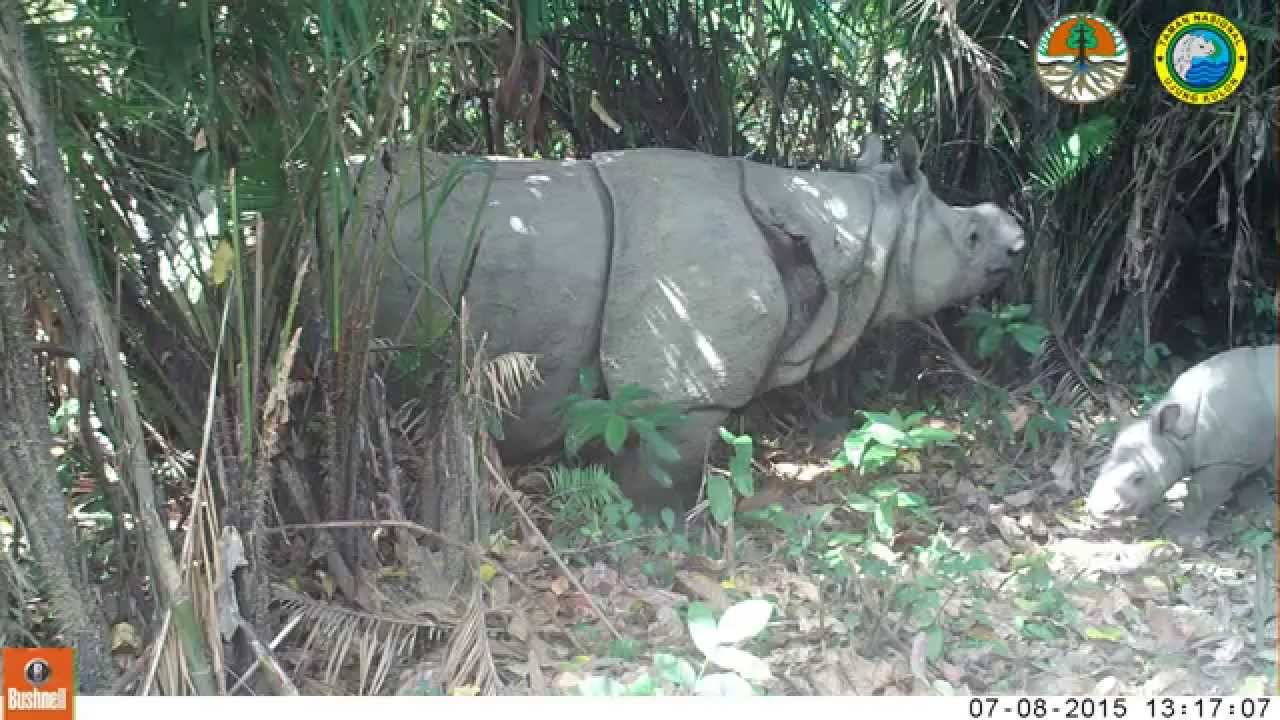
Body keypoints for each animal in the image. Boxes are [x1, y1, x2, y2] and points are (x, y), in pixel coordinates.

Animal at [1086, 344, 1278, 546]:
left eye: (1138, 478)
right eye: (1100, 469)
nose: (1097, 512)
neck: (1176, 435)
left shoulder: (1225, 459)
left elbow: (1200, 493)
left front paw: (1182, 538)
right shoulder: (1243, 455)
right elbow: (1251, 485)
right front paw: (1264, 515)